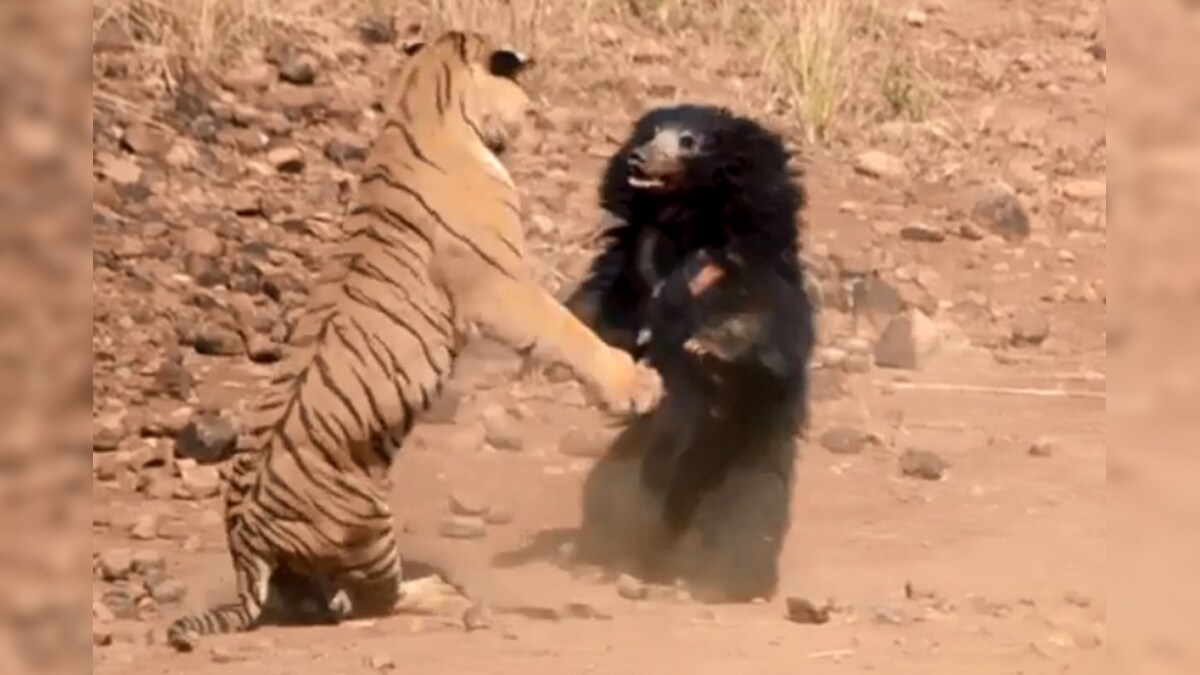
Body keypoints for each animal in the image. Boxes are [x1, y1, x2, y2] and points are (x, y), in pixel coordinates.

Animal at [165, 30, 664, 651]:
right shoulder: (501, 290)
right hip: (366, 521)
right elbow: (566, 331)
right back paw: (443, 593)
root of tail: (242, 544)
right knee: (380, 600)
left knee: (326, 600)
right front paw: (636, 385)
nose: (534, 118)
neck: (421, 103)